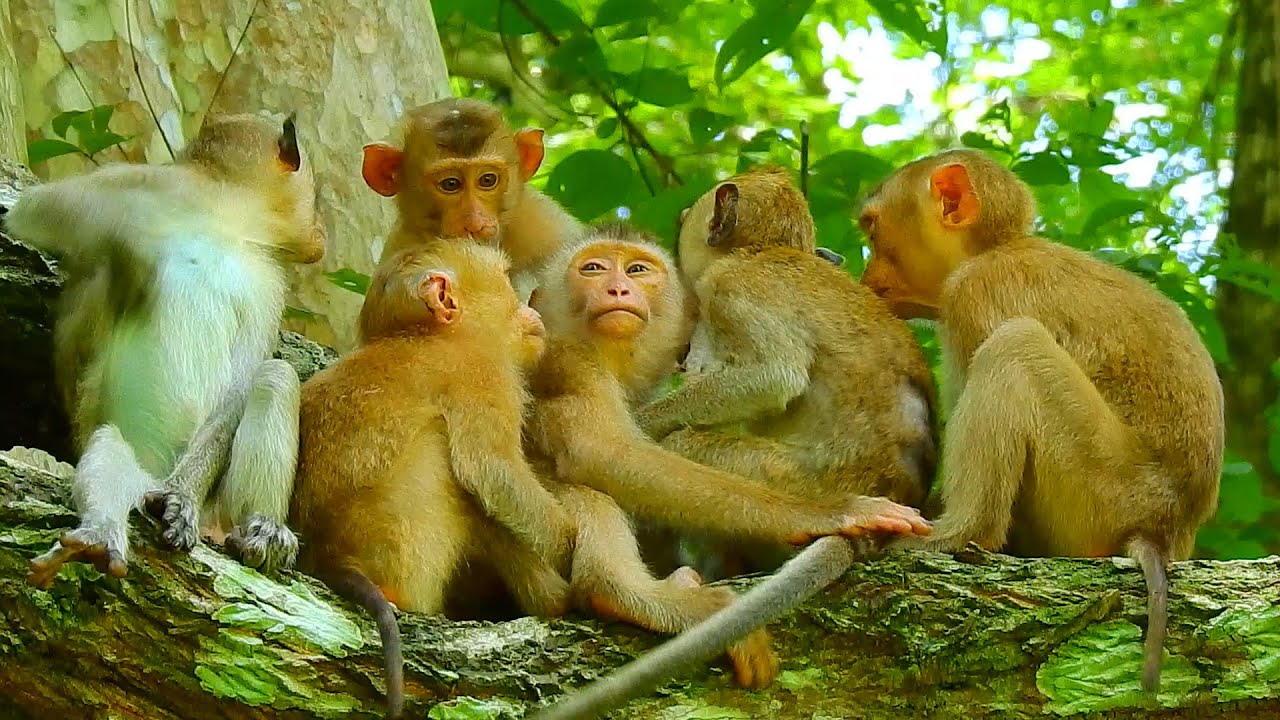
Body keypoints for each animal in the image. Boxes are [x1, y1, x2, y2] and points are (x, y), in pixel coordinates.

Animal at [6, 112, 326, 588]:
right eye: (316, 195)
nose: (321, 233)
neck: (225, 219)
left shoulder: (268, 283)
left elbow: (238, 386)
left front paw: (183, 500)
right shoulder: (147, 181)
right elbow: (31, 212)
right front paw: (131, 249)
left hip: (213, 503)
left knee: (275, 376)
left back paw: (257, 530)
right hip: (139, 462)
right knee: (110, 450)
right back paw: (101, 533)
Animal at [523, 224, 931, 720]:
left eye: (637, 269)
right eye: (593, 268)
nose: (617, 288)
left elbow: (769, 377)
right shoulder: (569, 356)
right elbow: (599, 450)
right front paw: (829, 513)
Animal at [858, 148, 1224, 694]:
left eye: (872, 228)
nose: (865, 276)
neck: (995, 249)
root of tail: (1164, 528)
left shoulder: (973, 293)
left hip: (1104, 489)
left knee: (1015, 345)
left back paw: (962, 534)